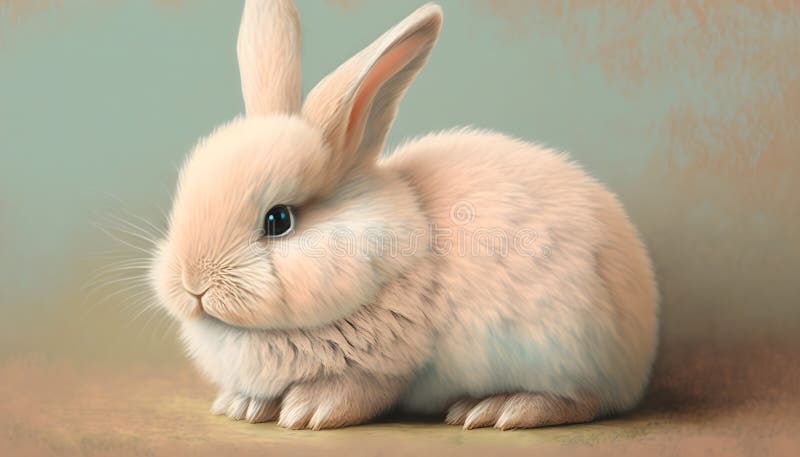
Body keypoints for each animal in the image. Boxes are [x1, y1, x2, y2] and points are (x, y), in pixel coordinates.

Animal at [150, 0, 659, 430]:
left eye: (278, 220)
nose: (192, 285)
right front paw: (241, 405)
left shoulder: (390, 367)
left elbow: (360, 391)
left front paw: (310, 410)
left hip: (565, 345)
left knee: (585, 401)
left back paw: (499, 409)